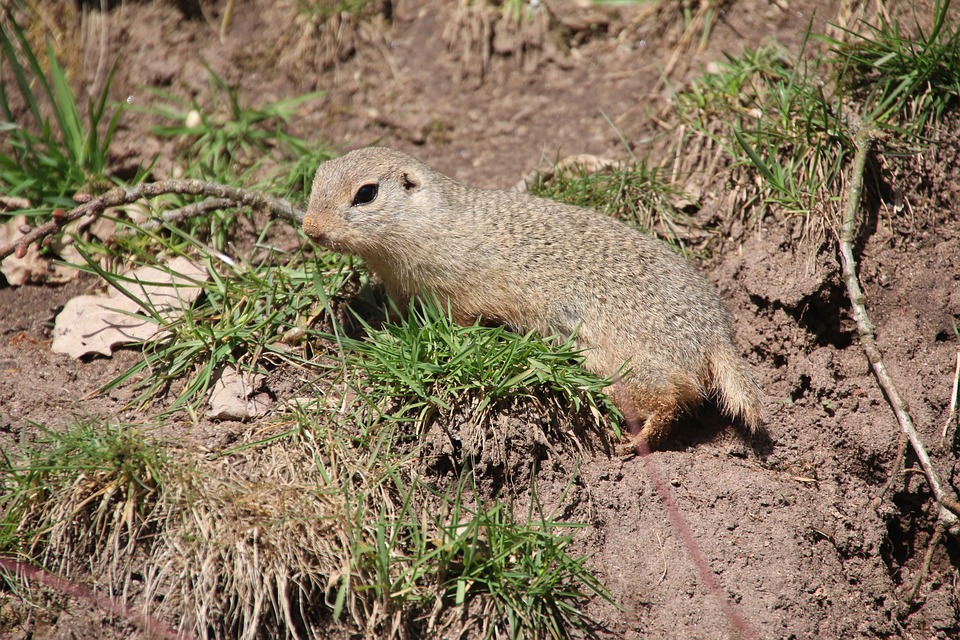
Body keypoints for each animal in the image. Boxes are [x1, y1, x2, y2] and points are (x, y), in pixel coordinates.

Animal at [303, 147, 762, 449]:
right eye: (316, 177)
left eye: (366, 193)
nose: (309, 228)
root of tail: (717, 335)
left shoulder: (458, 291)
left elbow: (460, 321)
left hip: (626, 363)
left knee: (672, 396)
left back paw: (638, 441)